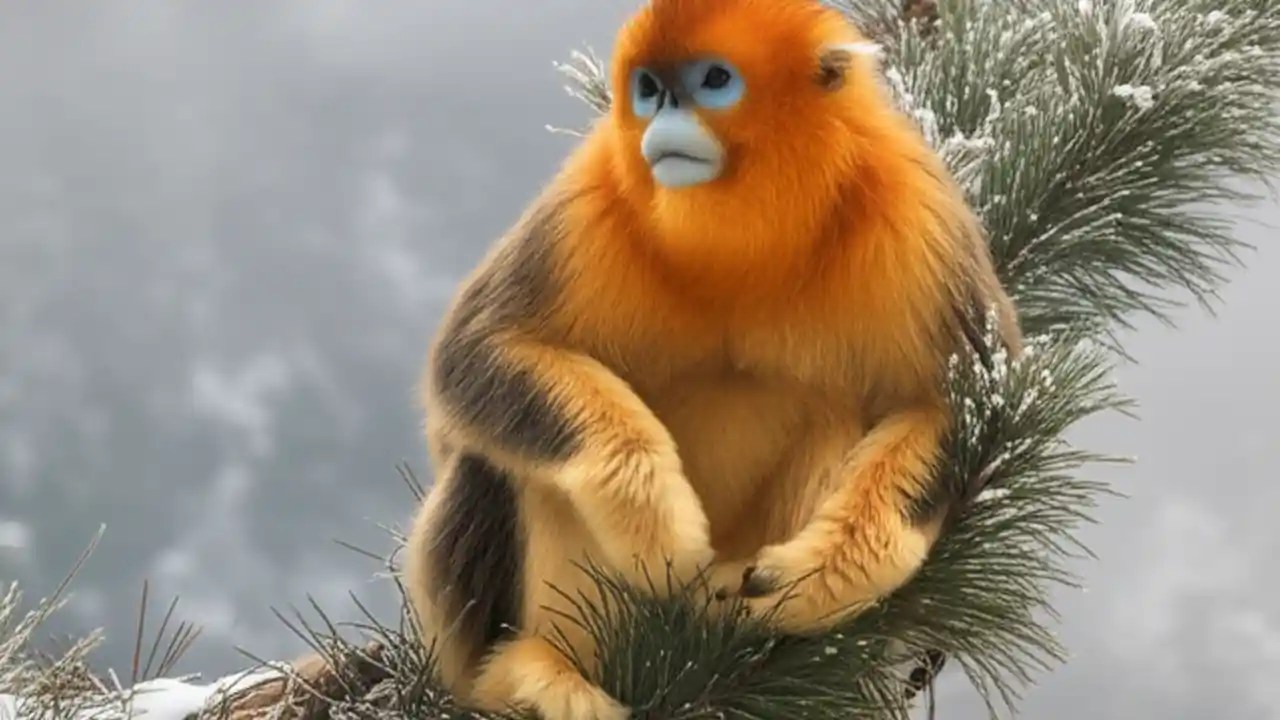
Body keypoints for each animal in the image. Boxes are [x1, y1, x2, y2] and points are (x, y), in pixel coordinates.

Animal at [403, 0, 1022, 718]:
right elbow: (474, 353)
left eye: (714, 80)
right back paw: (525, 676)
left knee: (830, 409)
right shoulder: (588, 201)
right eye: (648, 88)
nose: (662, 118)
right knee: (492, 462)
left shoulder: (914, 211)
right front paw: (652, 517)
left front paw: (816, 581)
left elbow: (970, 407)